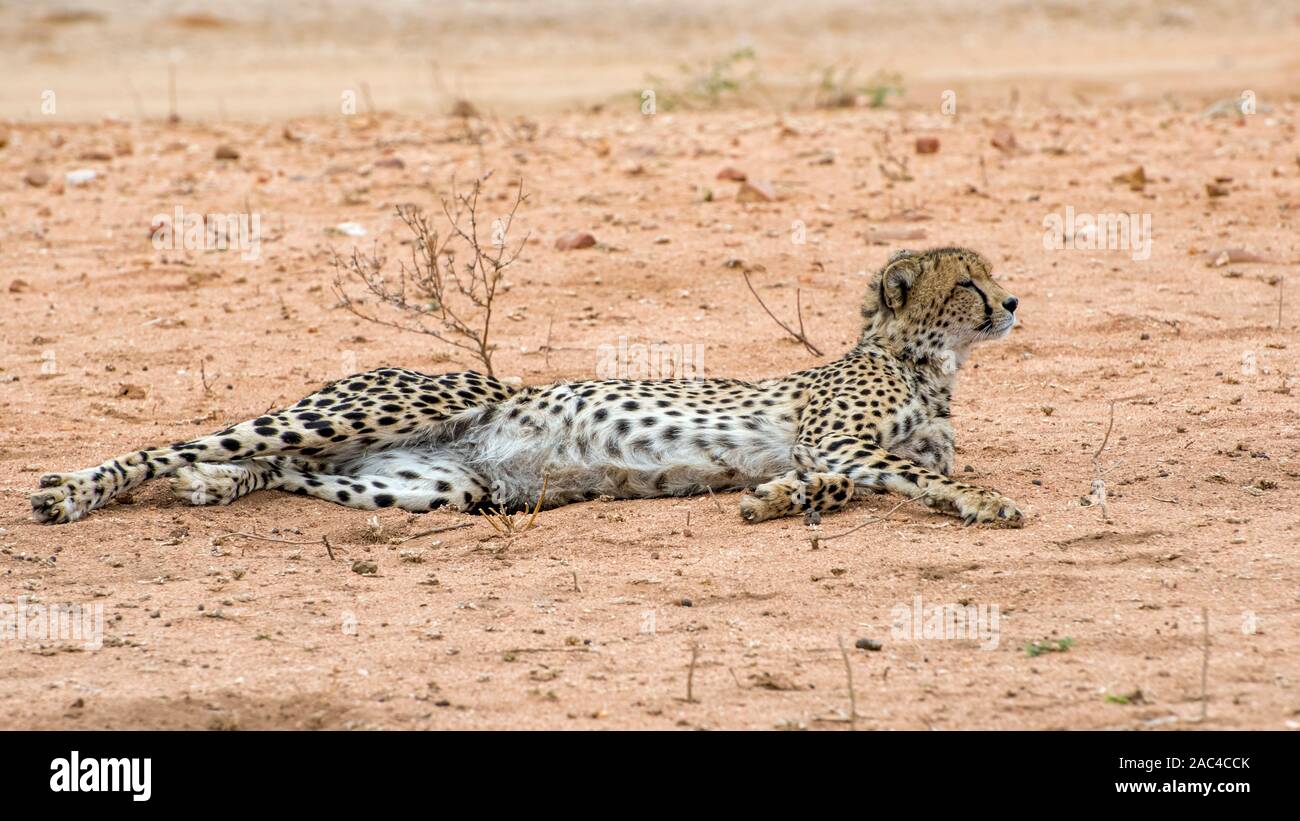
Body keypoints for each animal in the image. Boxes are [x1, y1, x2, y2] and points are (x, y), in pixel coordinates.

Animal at [30, 246, 1023, 528]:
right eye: (971, 281)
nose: (1014, 300)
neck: (925, 362)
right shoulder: (837, 436)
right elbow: (907, 473)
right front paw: (988, 503)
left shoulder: (836, 452)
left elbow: (846, 481)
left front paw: (775, 499)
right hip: (409, 398)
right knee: (184, 442)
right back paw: (72, 490)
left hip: (432, 482)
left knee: (279, 468)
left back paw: (213, 485)